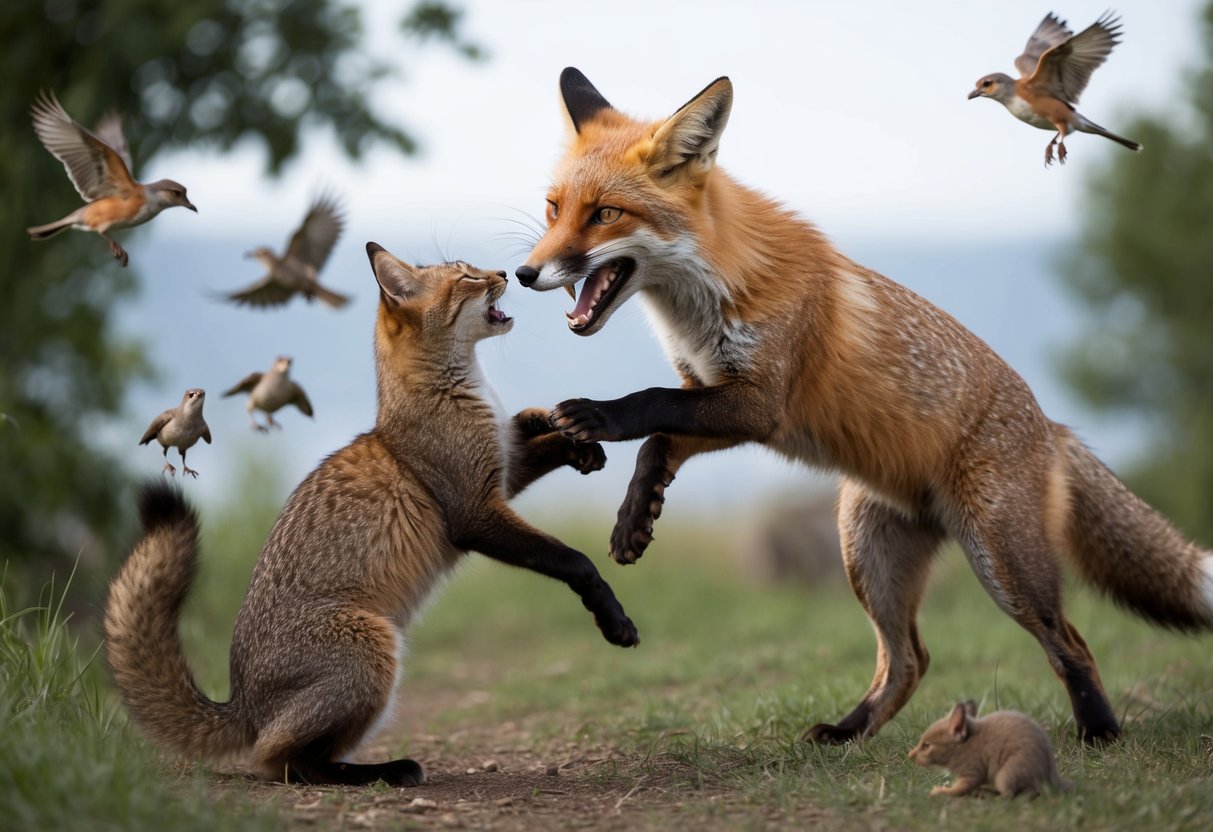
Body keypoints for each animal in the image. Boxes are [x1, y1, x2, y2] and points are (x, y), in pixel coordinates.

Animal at [104, 242, 638, 786]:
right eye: (467, 278)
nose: (507, 273)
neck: (456, 394)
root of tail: (242, 705)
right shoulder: (474, 511)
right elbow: (574, 561)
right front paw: (612, 617)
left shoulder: (501, 475)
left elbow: (535, 435)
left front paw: (575, 441)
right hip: (373, 651)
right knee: (284, 762)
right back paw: (381, 770)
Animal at [515, 67, 1213, 745]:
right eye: (554, 208)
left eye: (605, 213)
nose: (524, 274)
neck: (705, 302)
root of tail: (1051, 425)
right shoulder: (720, 398)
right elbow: (661, 439)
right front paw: (637, 516)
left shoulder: (759, 403)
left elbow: (647, 404)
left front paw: (596, 416)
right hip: (867, 554)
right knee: (909, 661)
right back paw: (848, 732)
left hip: (1003, 564)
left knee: (1069, 641)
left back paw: (1100, 732)